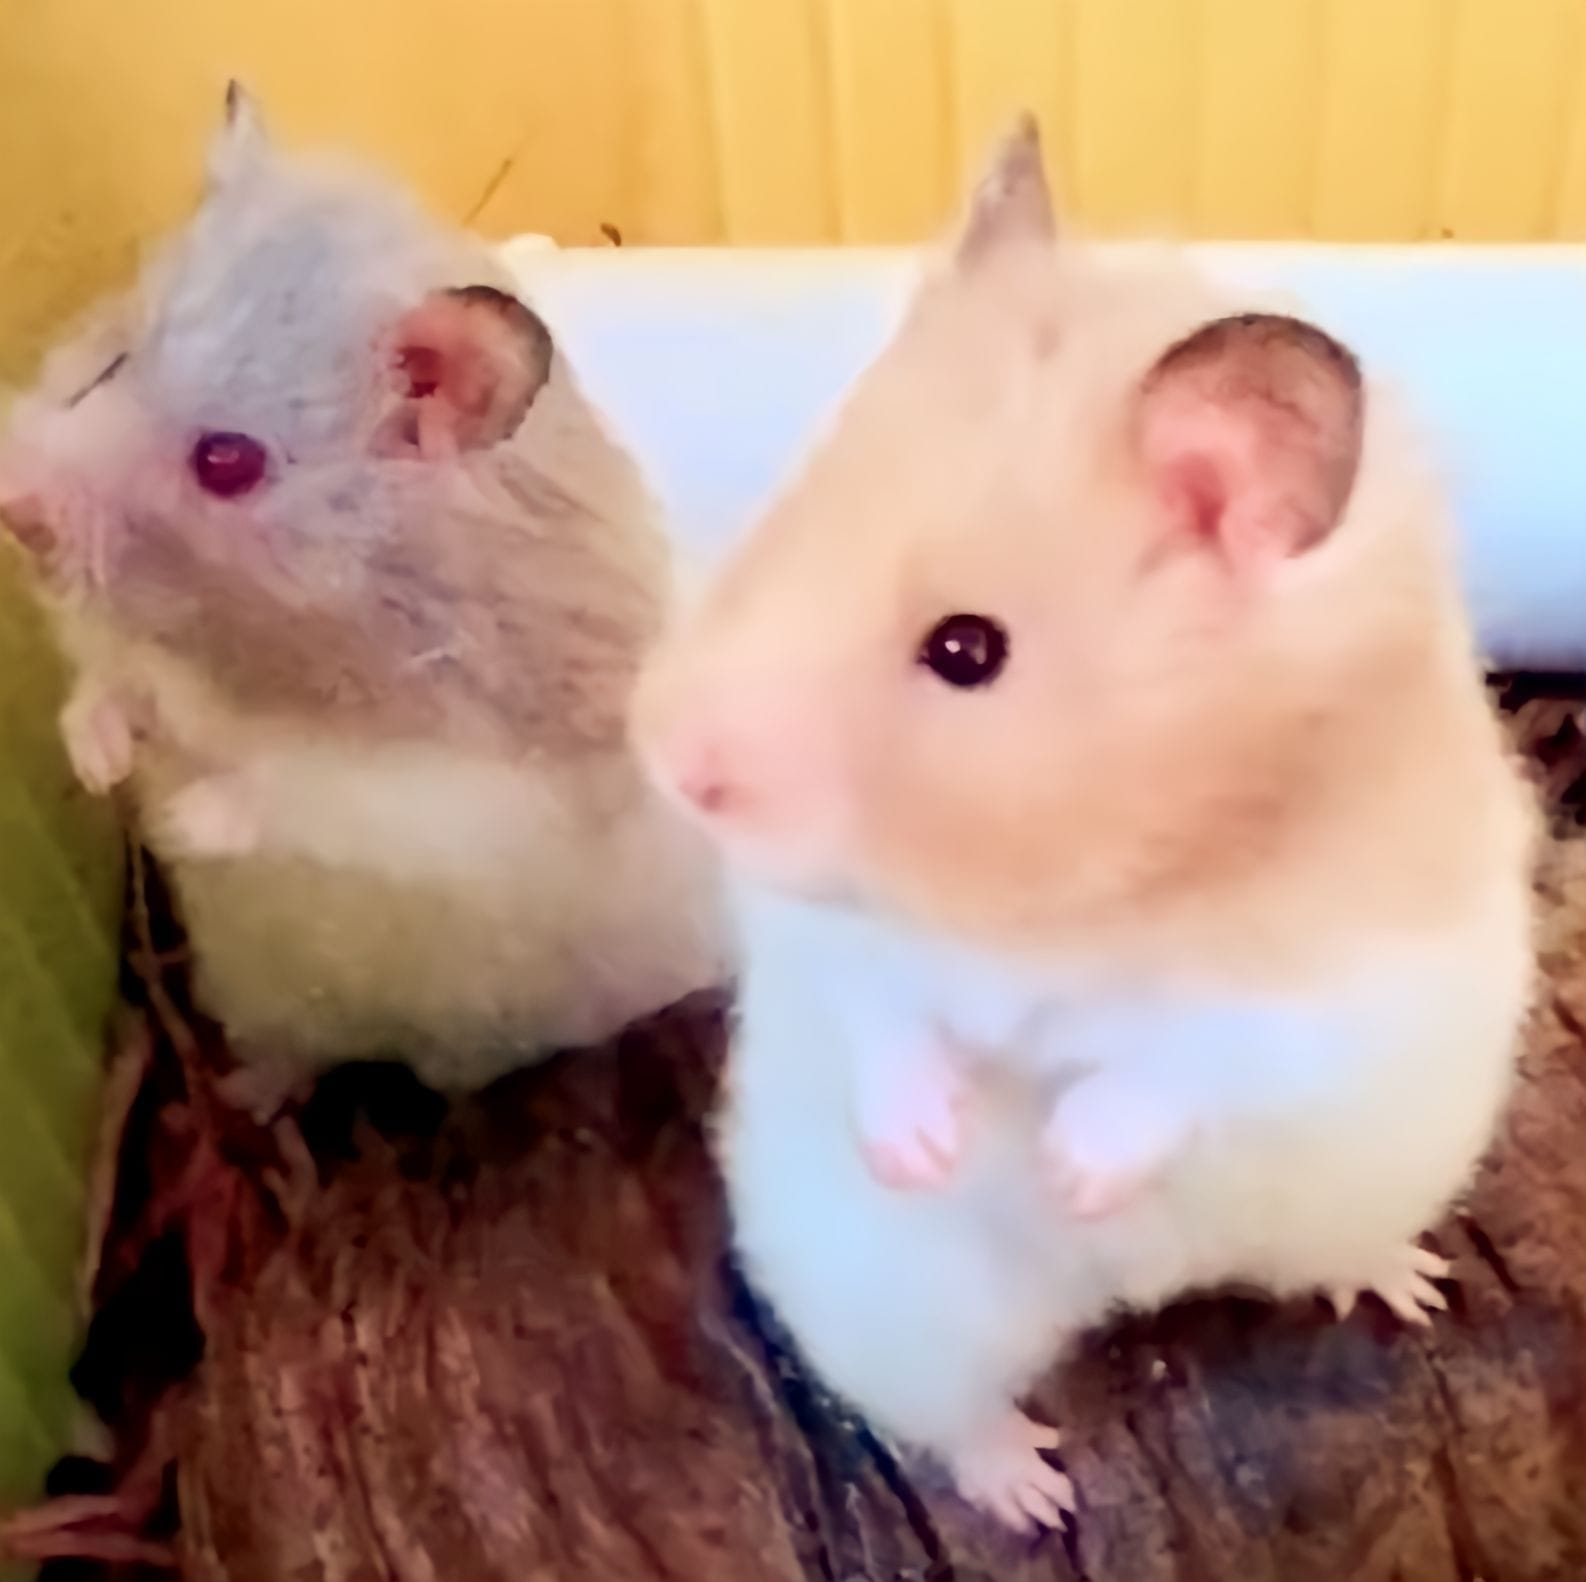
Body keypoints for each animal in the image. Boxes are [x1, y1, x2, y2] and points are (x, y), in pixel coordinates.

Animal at [0, 84, 725, 1105]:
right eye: (112, 363)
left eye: (228, 462)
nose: (11, 505)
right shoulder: (117, 641)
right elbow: (102, 678)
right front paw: (101, 767)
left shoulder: (456, 798)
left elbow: (306, 794)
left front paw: (180, 821)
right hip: (261, 998)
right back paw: (247, 1095)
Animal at [632, 117, 1536, 1531]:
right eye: (786, 516)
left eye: (966, 649)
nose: (670, 761)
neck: (1070, 886)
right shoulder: (818, 929)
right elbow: (873, 998)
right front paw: (924, 1151)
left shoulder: (1340, 985)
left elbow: (1184, 1059)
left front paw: (1069, 1169)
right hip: (909, 1311)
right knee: (950, 1416)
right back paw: (1034, 1493)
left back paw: (1405, 1283)